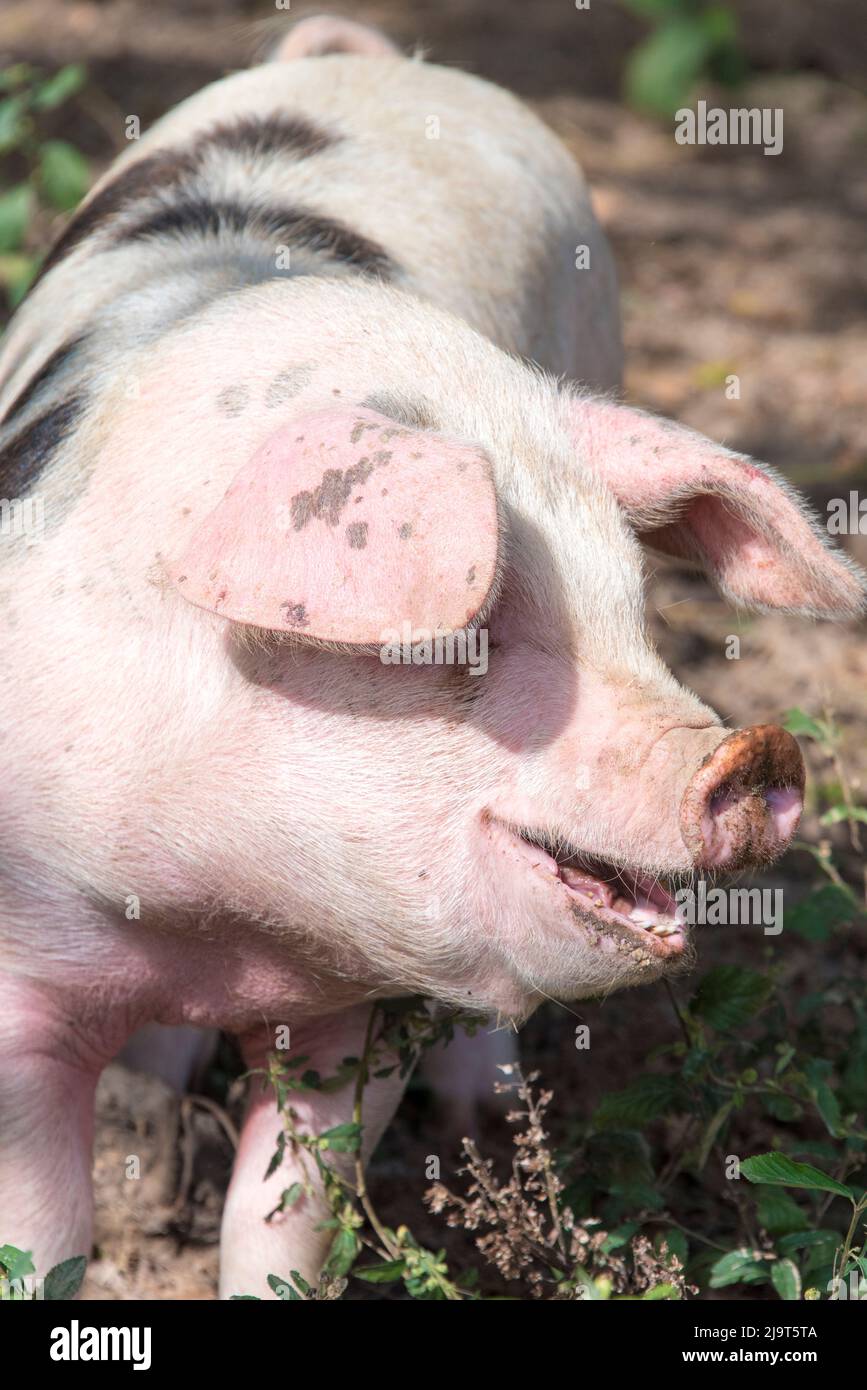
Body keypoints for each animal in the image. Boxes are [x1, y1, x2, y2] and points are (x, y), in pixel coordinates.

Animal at [0, 15, 863, 1300]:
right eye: (471, 633)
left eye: (633, 609)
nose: (751, 754)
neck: (216, 916)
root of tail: (365, 57)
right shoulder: (21, 975)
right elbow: (40, 1226)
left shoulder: (365, 1012)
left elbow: (294, 1216)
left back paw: (487, 1116)